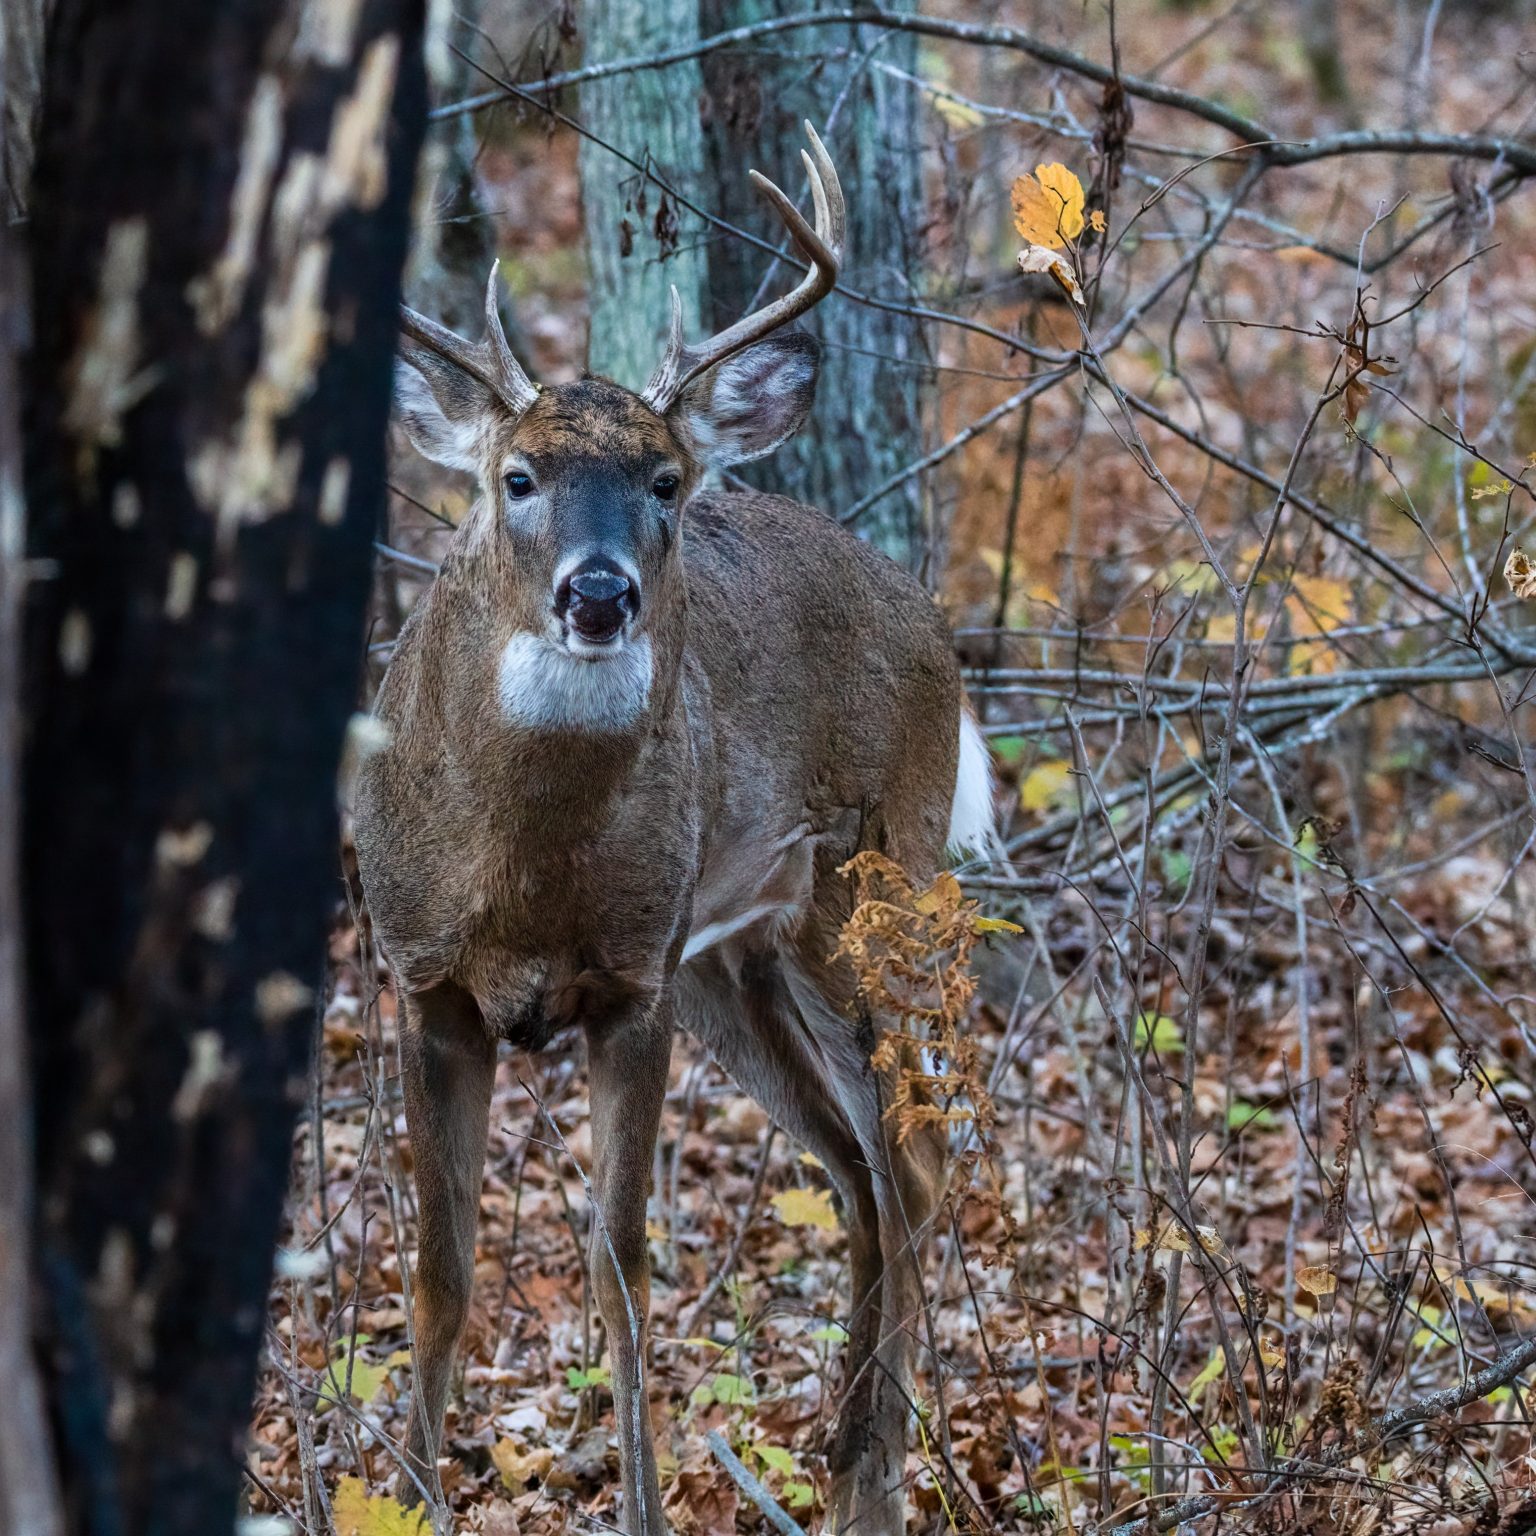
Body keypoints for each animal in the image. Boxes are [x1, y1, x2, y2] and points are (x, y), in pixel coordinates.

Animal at [353, 123, 996, 1535]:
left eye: (663, 480)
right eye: (517, 477)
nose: (599, 592)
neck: (521, 877)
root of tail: (931, 620)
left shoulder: (632, 983)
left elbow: (621, 1263)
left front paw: (641, 1505)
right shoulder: (425, 981)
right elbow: (439, 1266)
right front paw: (409, 1498)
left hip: (874, 881)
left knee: (915, 1160)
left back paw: (876, 1476)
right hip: (735, 960)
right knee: (858, 1171)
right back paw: (845, 1457)